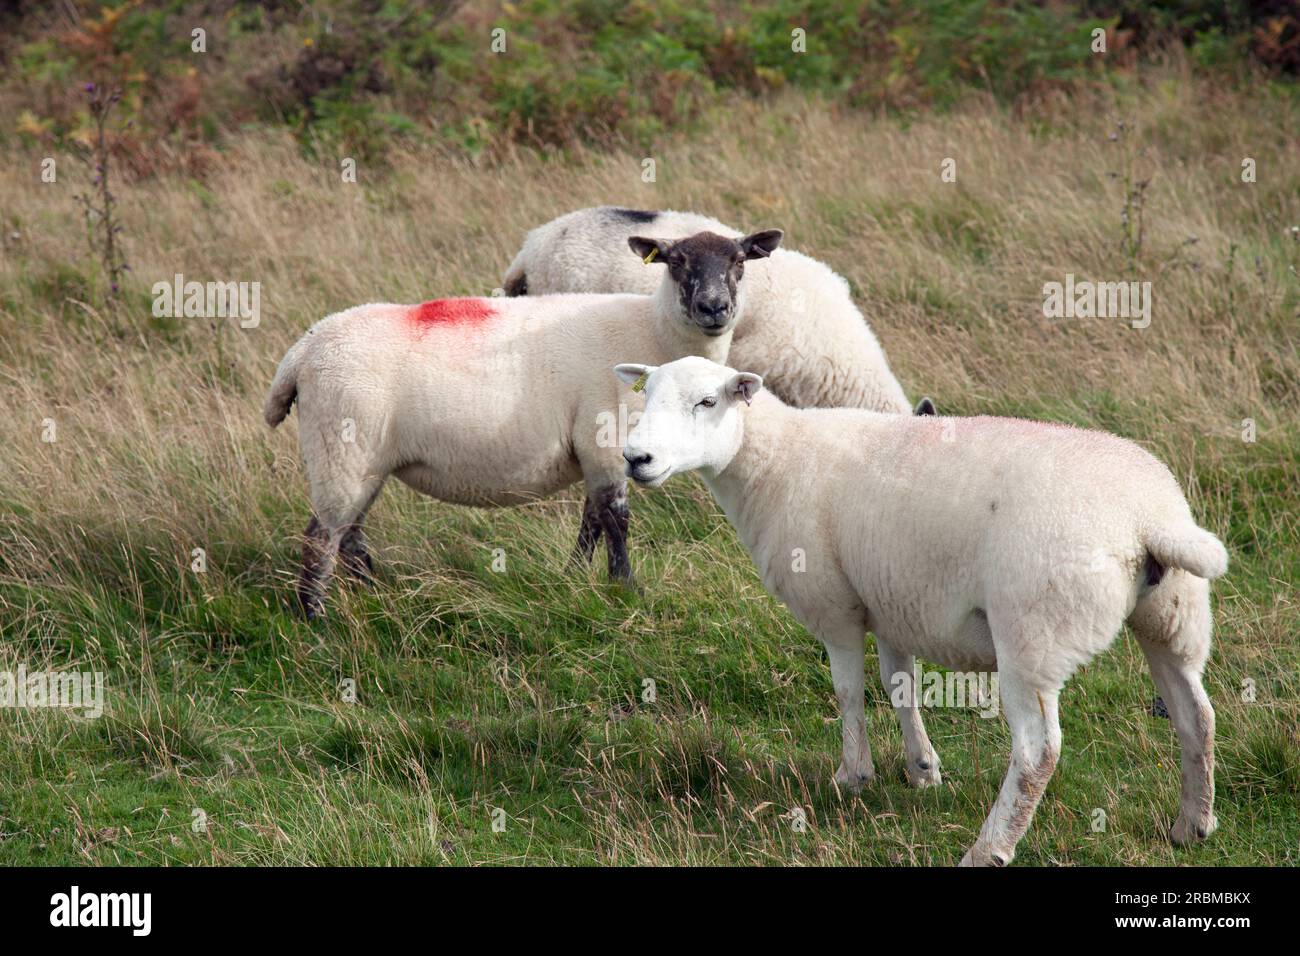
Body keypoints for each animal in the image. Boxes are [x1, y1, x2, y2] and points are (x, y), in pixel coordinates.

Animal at [264, 228, 783, 617]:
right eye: (675, 262)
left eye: (739, 260)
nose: (714, 308)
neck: (652, 333)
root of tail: (302, 352)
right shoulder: (606, 440)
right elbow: (616, 517)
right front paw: (625, 588)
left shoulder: (593, 450)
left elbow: (592, 518)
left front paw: (575, 577)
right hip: (340, 447)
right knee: (320, 538)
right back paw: (316, 619)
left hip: (363, 460)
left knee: (349, 533)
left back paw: (375, 591)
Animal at [614, 355, 1227, 866]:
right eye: (646, 395)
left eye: (706, 401)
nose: (635, 458)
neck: (774, 460)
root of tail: (1147, 521)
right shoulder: (891, 603)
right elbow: (899, 686)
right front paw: (922, 769)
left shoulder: (834, 606)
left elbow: (848, 691)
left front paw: (853, 775)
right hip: (1173, 616)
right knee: (1196, 713)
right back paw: (1191, 826)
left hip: (1035, 634)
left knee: (1037, 752)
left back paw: (988, 849)